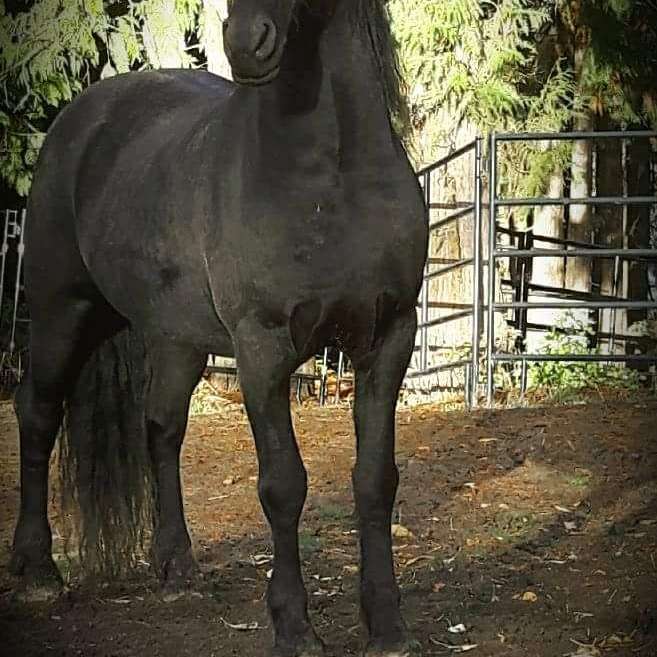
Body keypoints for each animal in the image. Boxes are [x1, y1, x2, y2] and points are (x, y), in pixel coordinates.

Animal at [10, 1, 428, 655]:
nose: (247, 44)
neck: (330, 182)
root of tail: (80, 118)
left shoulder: (388, 339)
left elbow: (376, 480)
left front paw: (387, 625)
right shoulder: (261, 349)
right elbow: (283, 486)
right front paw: (294, 627)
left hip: (176, 339)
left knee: (161, 428)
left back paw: (177, 568)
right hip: (64, 313)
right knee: (37, 413)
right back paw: (38, 573)